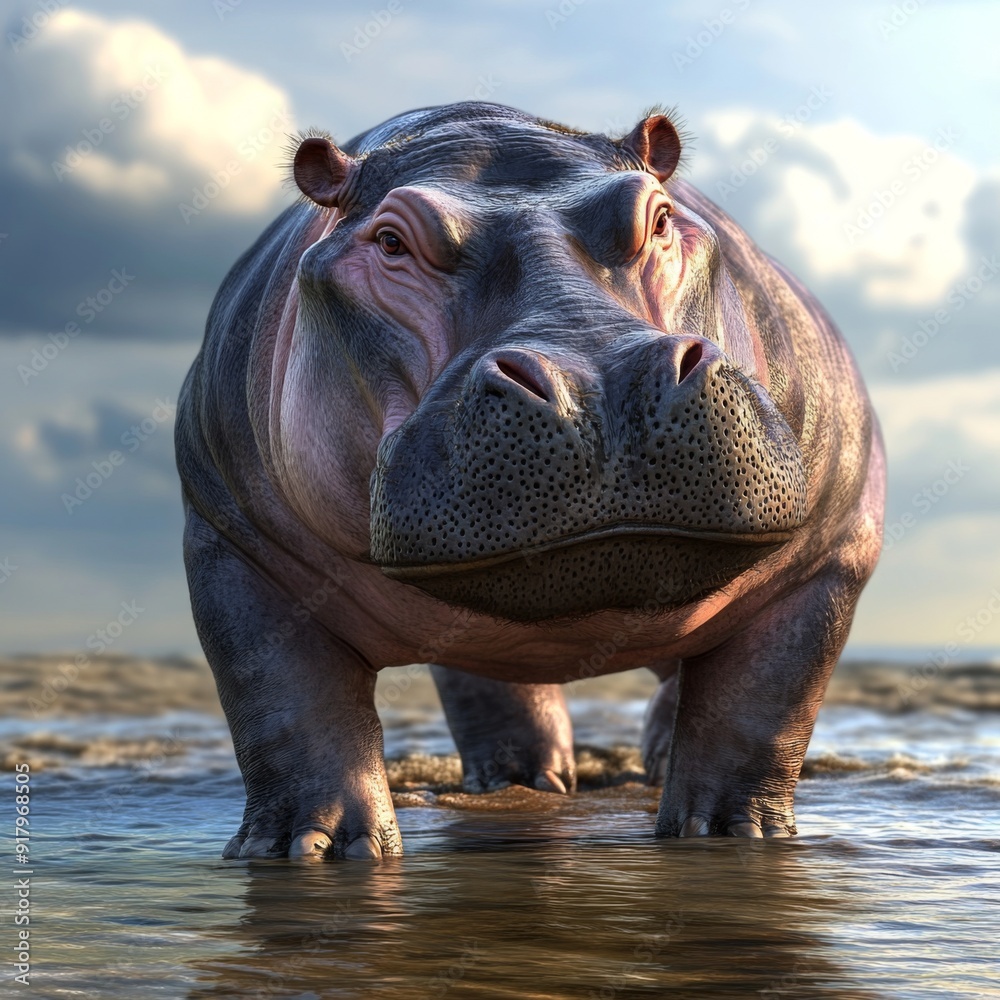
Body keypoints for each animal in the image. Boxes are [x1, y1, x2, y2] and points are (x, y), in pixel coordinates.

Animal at [176, 101, 884, 860]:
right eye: (390, 241)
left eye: (660, 218)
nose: (601, 384)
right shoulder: (234, 546)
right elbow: (285, 705)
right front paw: (311, 852)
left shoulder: (826, 556)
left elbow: (758, 709)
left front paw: (734, 838)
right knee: (492, 685)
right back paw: (526, 786)